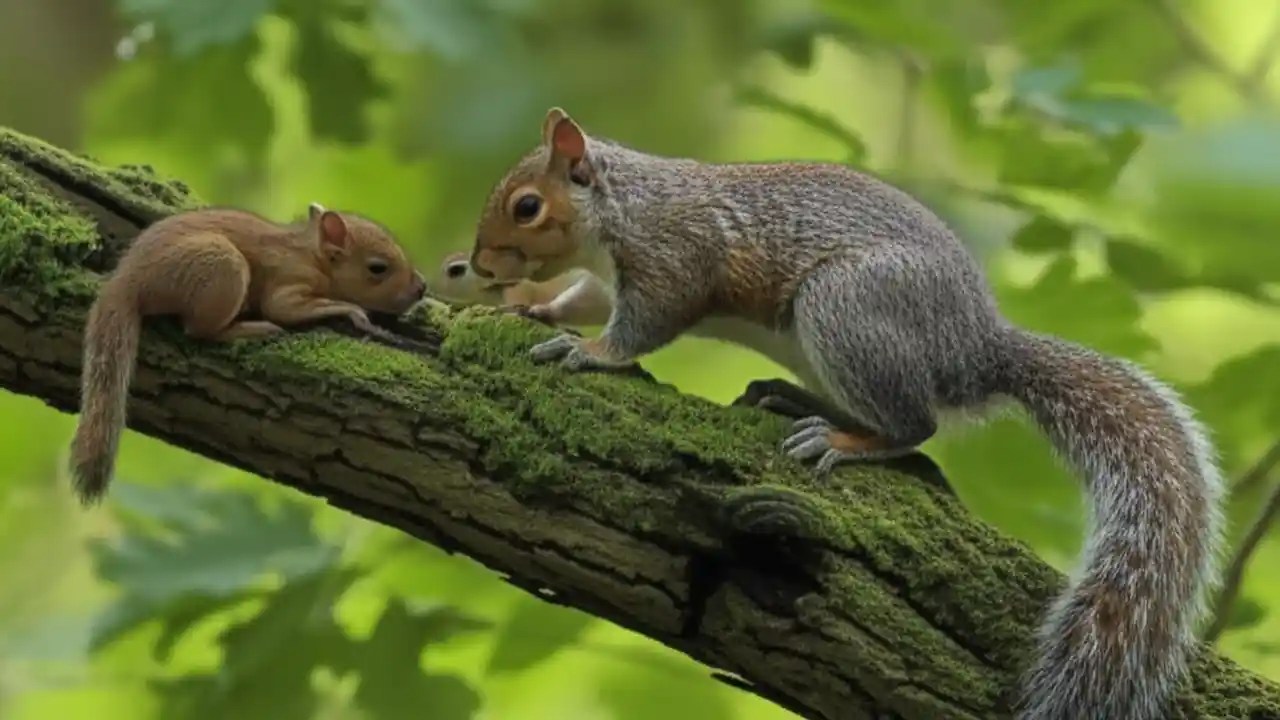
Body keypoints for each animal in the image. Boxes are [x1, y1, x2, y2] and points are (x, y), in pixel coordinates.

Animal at [68, 203, 426, 506]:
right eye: (377, 268)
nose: (422, 287)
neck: (313, 257)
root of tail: (126, 283)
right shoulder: (288, 285)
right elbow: (285, 308)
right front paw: (354, 311)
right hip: (222, 268)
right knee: (199, 330)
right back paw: (251, 328)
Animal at [467, 107, 1224, 720]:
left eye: (527, 206)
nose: (480, 266)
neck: (623, 206)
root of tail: (975, 349)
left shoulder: (673, 258)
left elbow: (643, 326)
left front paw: (590, 351)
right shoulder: (608, 277)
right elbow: (587, 298)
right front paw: (541, 309)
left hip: (844, 311)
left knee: (915, 427)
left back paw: (842, 438)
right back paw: (795, 400)